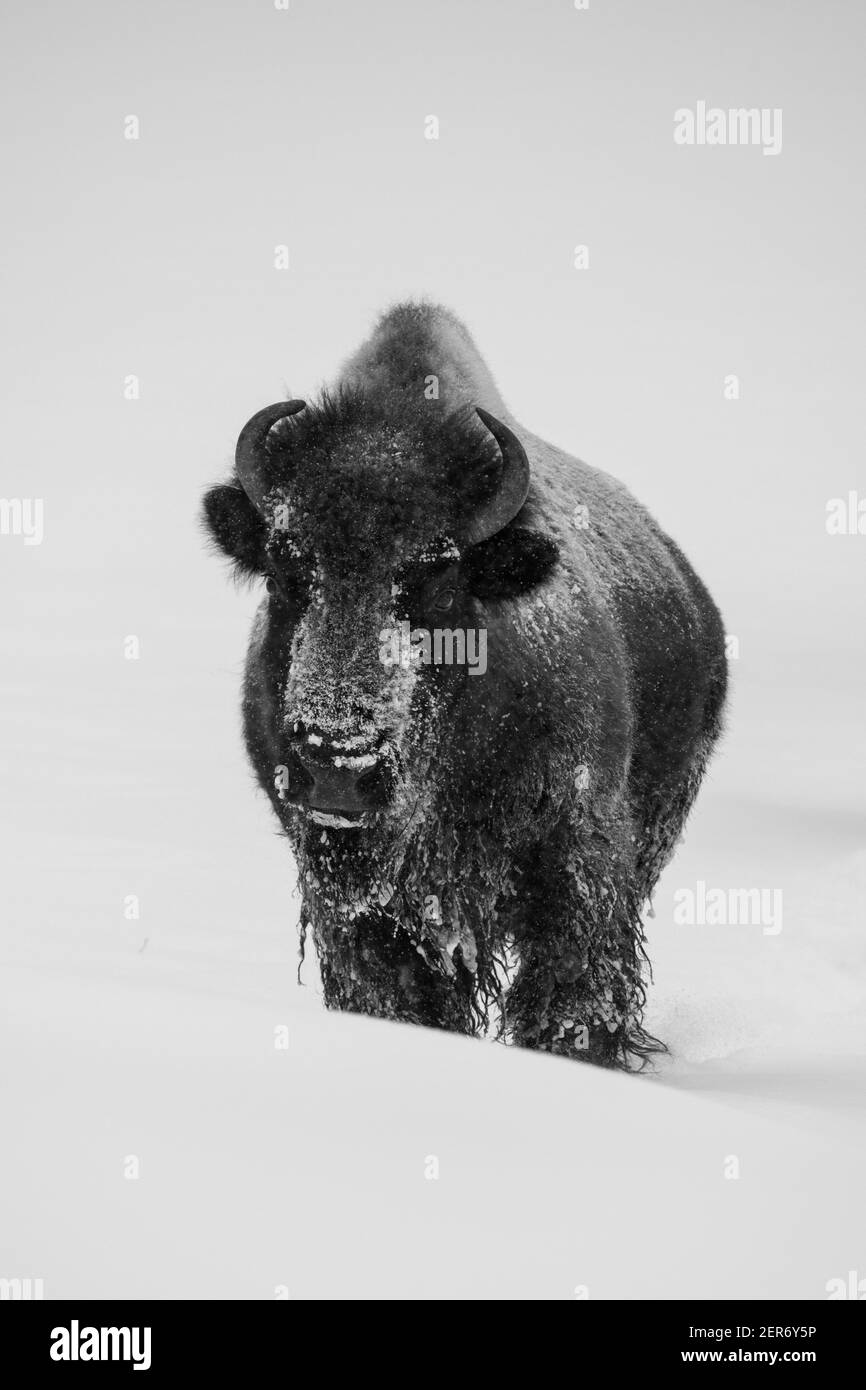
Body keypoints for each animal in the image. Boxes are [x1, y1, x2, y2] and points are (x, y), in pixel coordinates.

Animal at [203, 302, 727, 1068]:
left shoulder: (577, 862)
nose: (338, 768)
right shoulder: (357, 897)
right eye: (282, 569)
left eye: (438, 576)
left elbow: (569, 999)